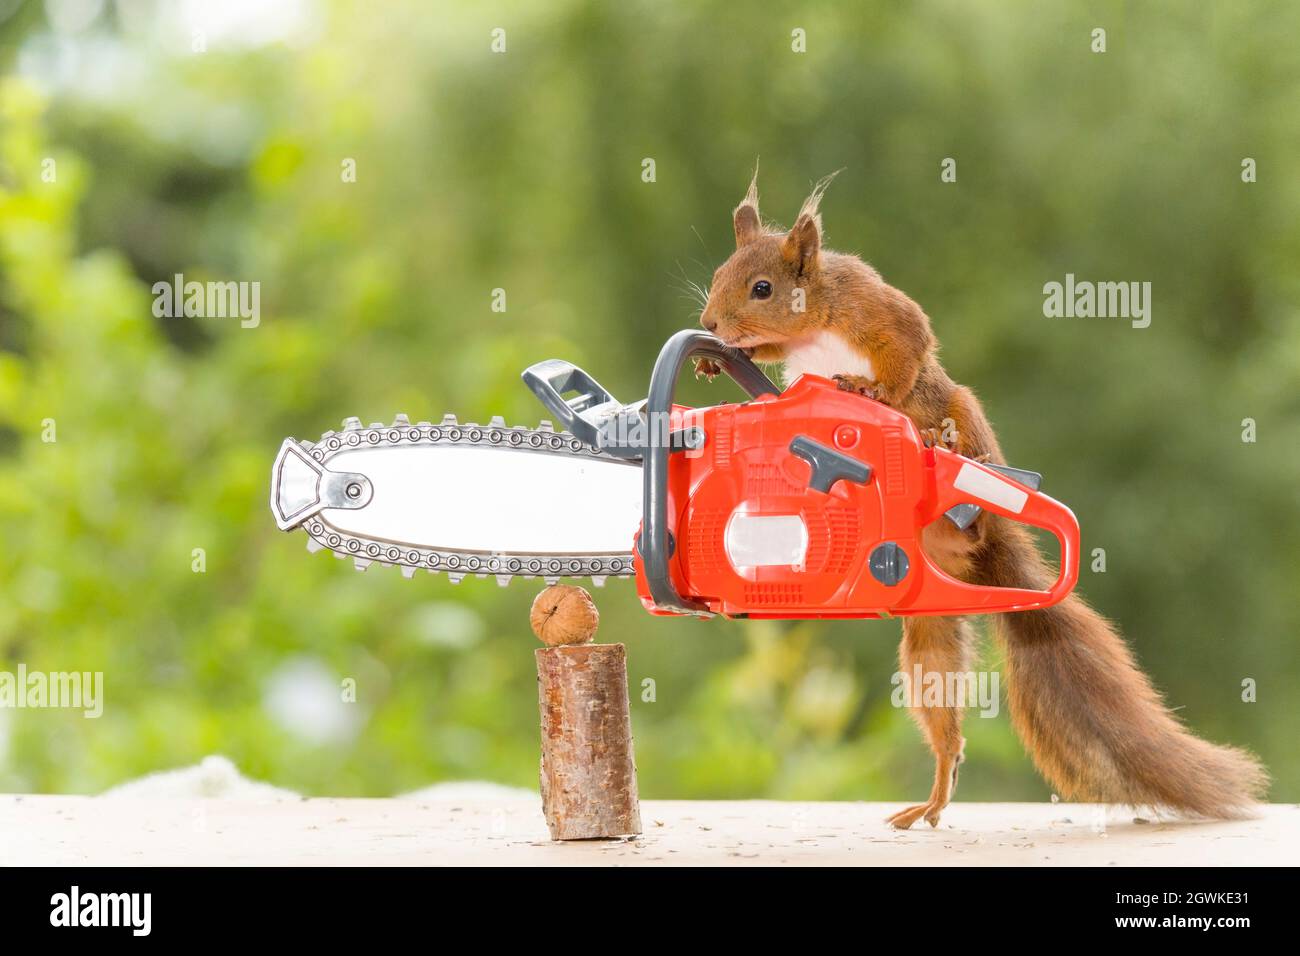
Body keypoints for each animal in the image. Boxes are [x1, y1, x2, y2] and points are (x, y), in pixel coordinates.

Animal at [697, 171, 1268, 829]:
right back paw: (935, 792)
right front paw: (723, 361)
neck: (815, 323)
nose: (710, 324)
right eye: (719, 273)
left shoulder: (878, 311)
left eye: (762, 288)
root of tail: (968, 549)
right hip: (929, 633)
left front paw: (870, 389)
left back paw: (954, 457)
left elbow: (908, 347)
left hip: (964, 411)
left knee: (967, 444)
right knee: (944, 714)